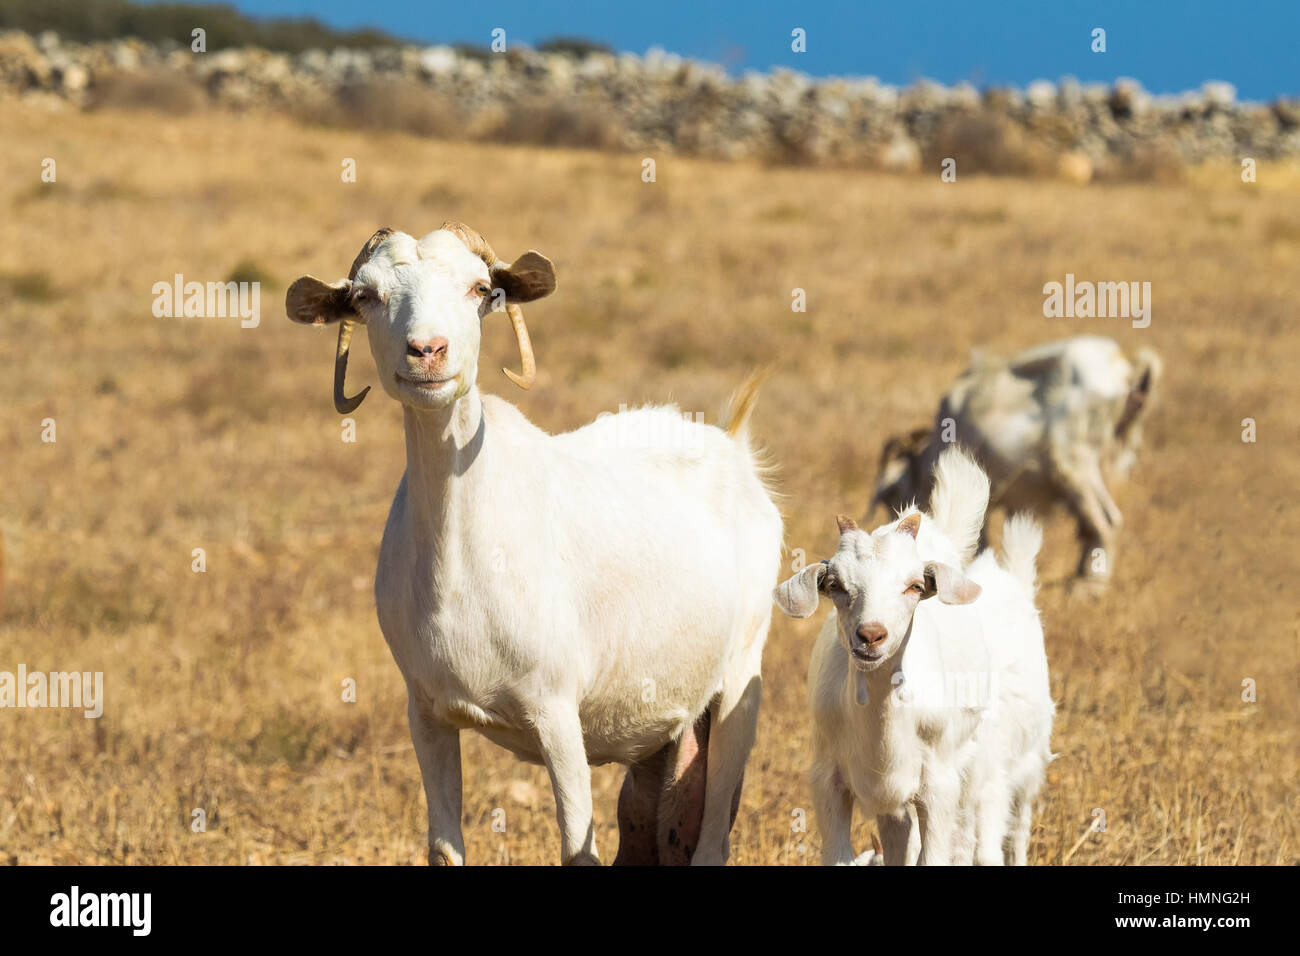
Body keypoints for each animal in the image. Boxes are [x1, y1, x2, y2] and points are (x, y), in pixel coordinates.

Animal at [285, 224, 782, 865]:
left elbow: (578, 849)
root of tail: (732, 446)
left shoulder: (556, 711)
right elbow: (444, 847)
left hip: (742, 676)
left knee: (713, 837)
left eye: (480, 288)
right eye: (366, 295)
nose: (428, 352)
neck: (461, 557)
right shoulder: (426, 712)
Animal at [775, 449, 1053, 865]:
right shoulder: (827, 779)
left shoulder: (939, 785)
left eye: (914, 587)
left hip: (1009, 760)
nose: (871, 635)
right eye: (835, 585)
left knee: (1007, 829)